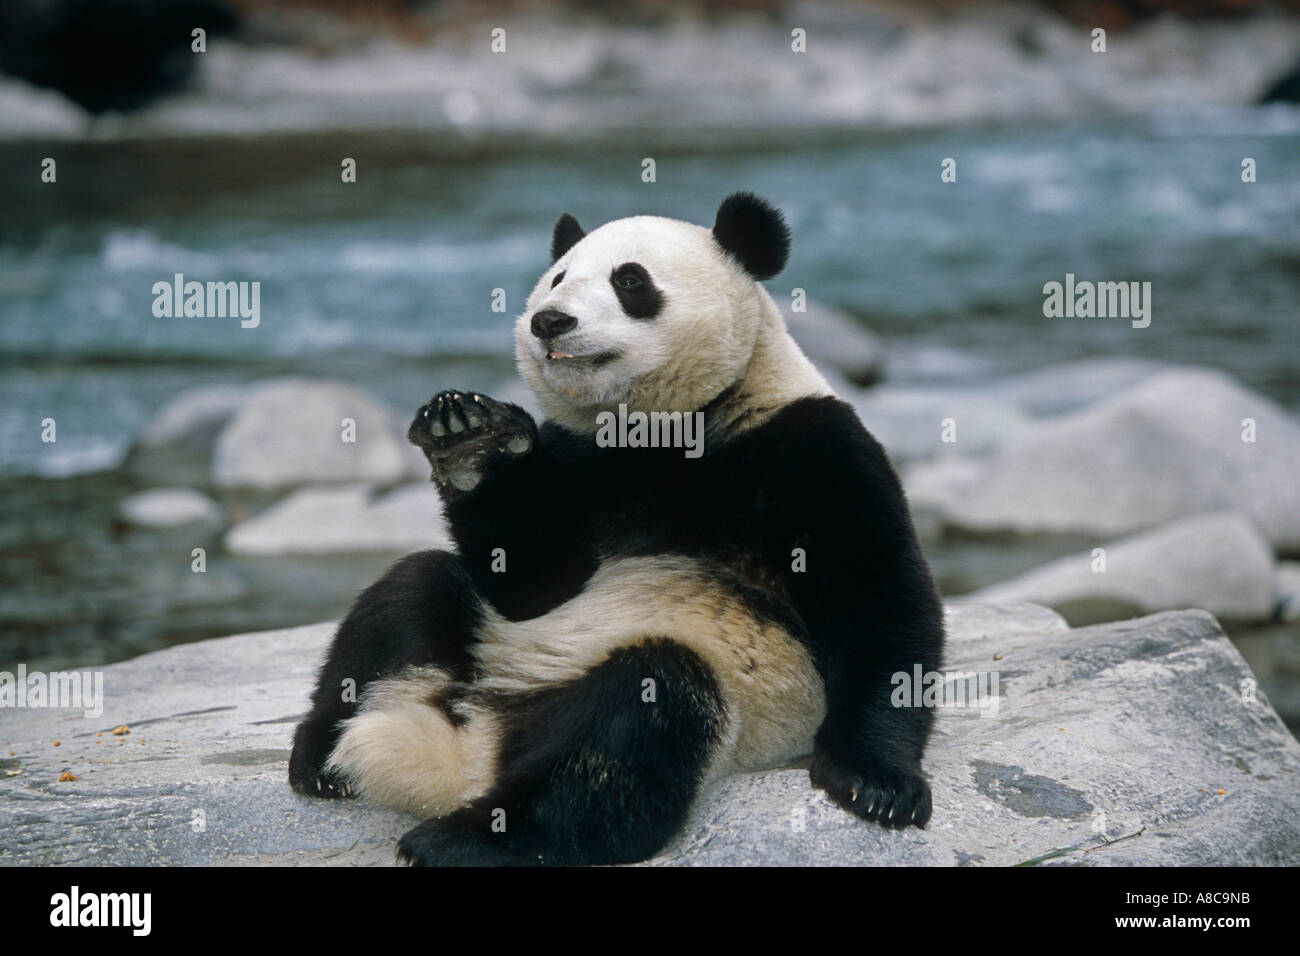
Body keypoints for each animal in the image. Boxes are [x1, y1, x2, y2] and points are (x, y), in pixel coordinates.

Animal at [288, 192, 945, 866]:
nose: (549, 321)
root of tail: (484, 745)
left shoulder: (806, 443)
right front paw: (472, 438)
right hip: (495, 650)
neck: (653, 431)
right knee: (409, 596)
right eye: (557, 278)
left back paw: (466, 837)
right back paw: (321, 759)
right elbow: (533, 582)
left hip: (738, 699)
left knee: (634, 723)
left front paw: (876, 785)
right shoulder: (578, 459)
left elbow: (877, 598)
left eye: (630, 281)